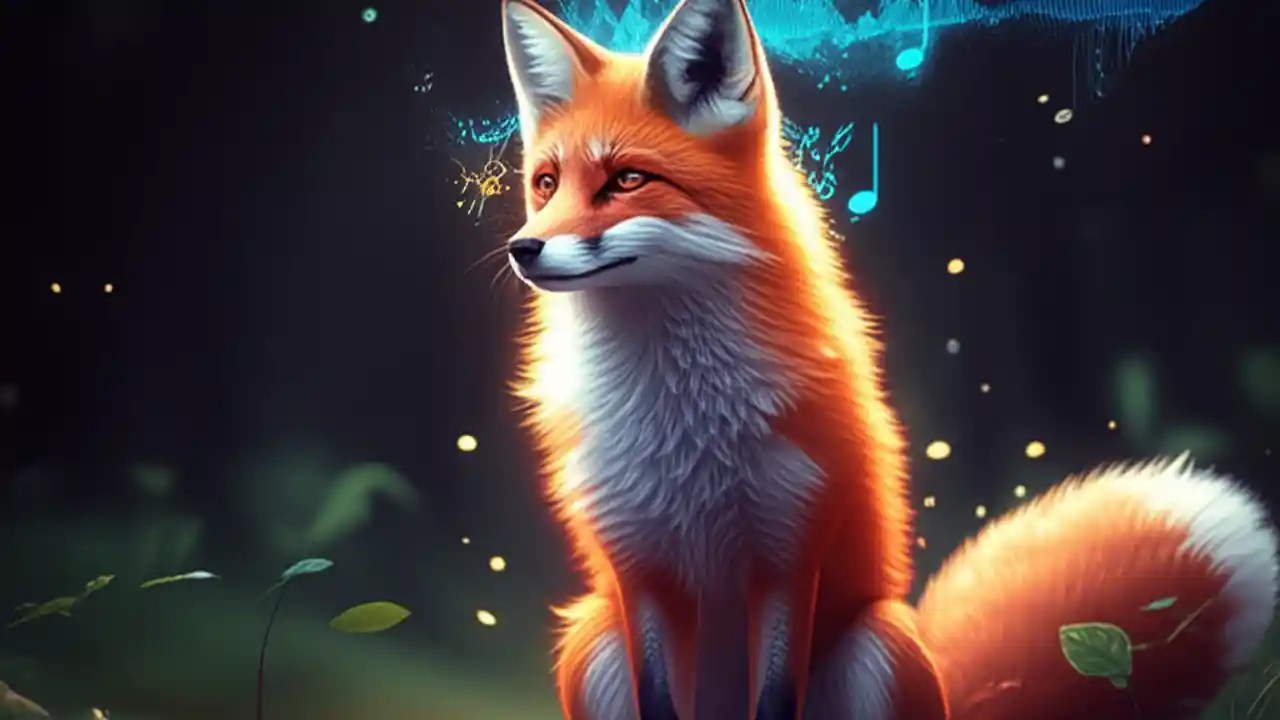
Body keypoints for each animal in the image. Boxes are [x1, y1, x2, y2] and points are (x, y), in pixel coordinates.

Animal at [496, 0, 1280, 718]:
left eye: (626, 181)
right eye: (545, 184)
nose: (522, 249)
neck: (681, 420)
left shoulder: (791, 554)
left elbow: (776, 696)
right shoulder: (639, 570)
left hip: (876, 641)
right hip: (590, 640)